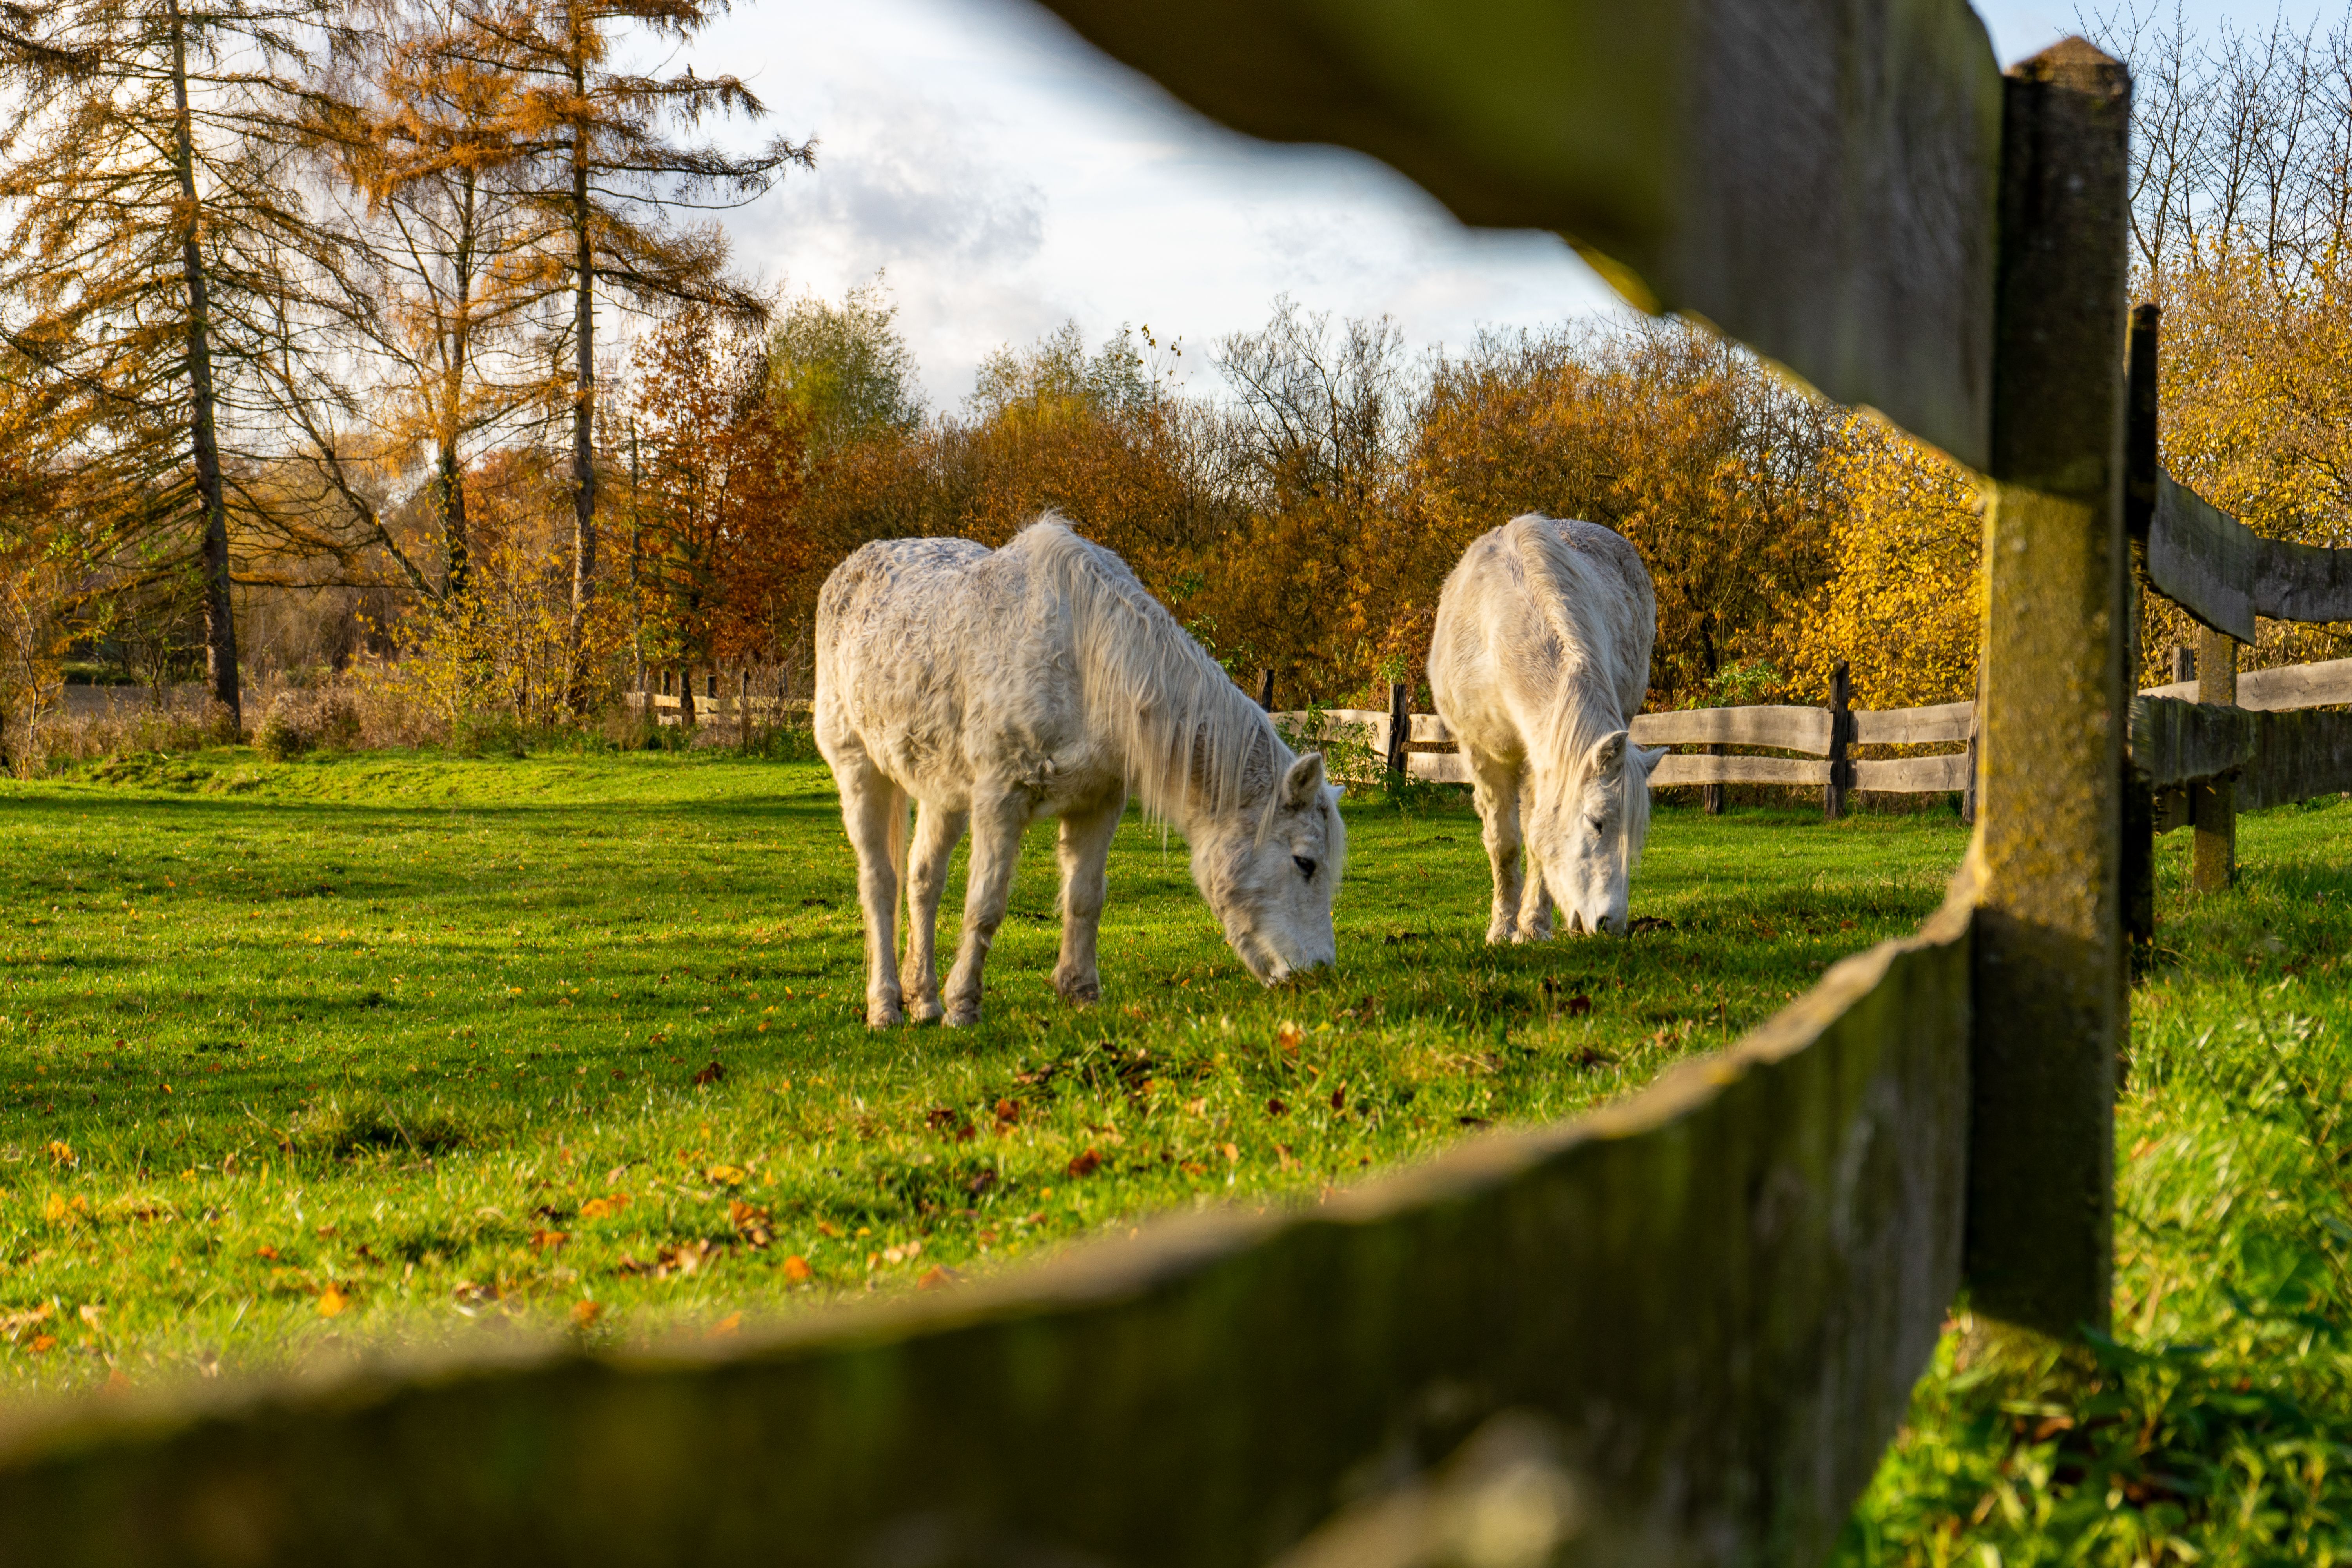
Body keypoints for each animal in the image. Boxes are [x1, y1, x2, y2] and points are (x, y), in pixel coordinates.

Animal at [814, 516, 1345, 1028]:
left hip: (940, 792)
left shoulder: (1097, 803)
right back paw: (885, 1007)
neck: (1087, 660)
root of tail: (848, 570)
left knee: (924, 881)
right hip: (859, 771)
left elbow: (1085, 898)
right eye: (1304, 863)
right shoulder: (1000, 801)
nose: (1318, 974)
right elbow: (986, 904)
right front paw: (964, 1005)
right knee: (880, 884)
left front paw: (1081, 992)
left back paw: (923, 1001)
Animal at [1428, 514, 1665, 940]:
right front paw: (1502, 929)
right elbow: (1504, 844)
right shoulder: (1484, 756)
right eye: (1596, 822)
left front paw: (1533, 926)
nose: (1611, 925)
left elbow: (1537, 838)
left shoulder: (1546, 761)